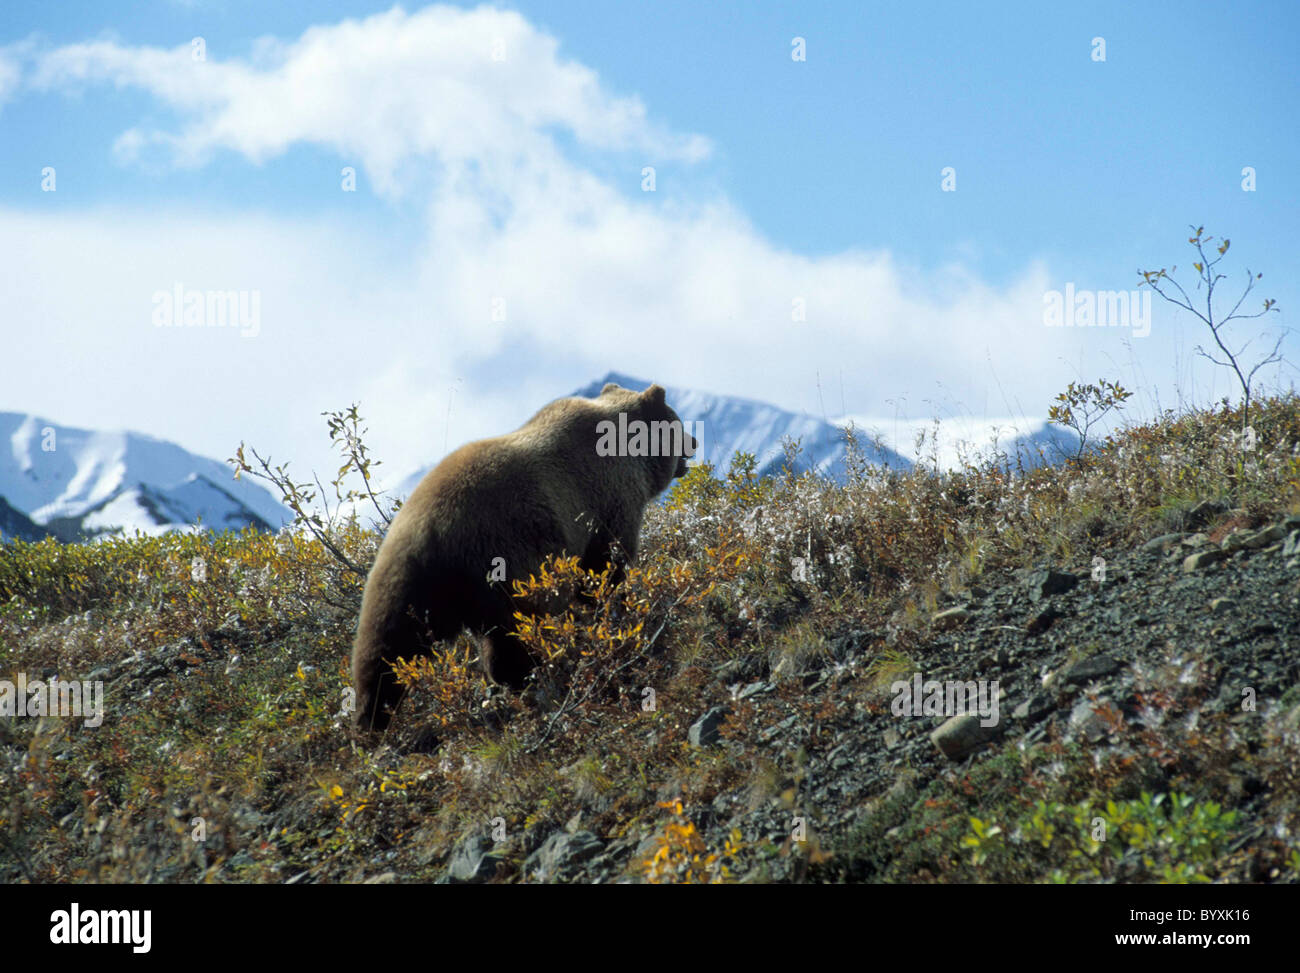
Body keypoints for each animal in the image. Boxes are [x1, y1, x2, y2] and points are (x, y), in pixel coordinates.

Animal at [351, 381, 696, 731]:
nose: (694, 442)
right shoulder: (606, 501)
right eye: (678, 423)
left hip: (402, 580)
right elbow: (606, 569)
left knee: (384, 648)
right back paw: (535, 681)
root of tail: (431, 531)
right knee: (514, 638)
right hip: (504, 561)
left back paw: (372, 717)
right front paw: (623, 611)